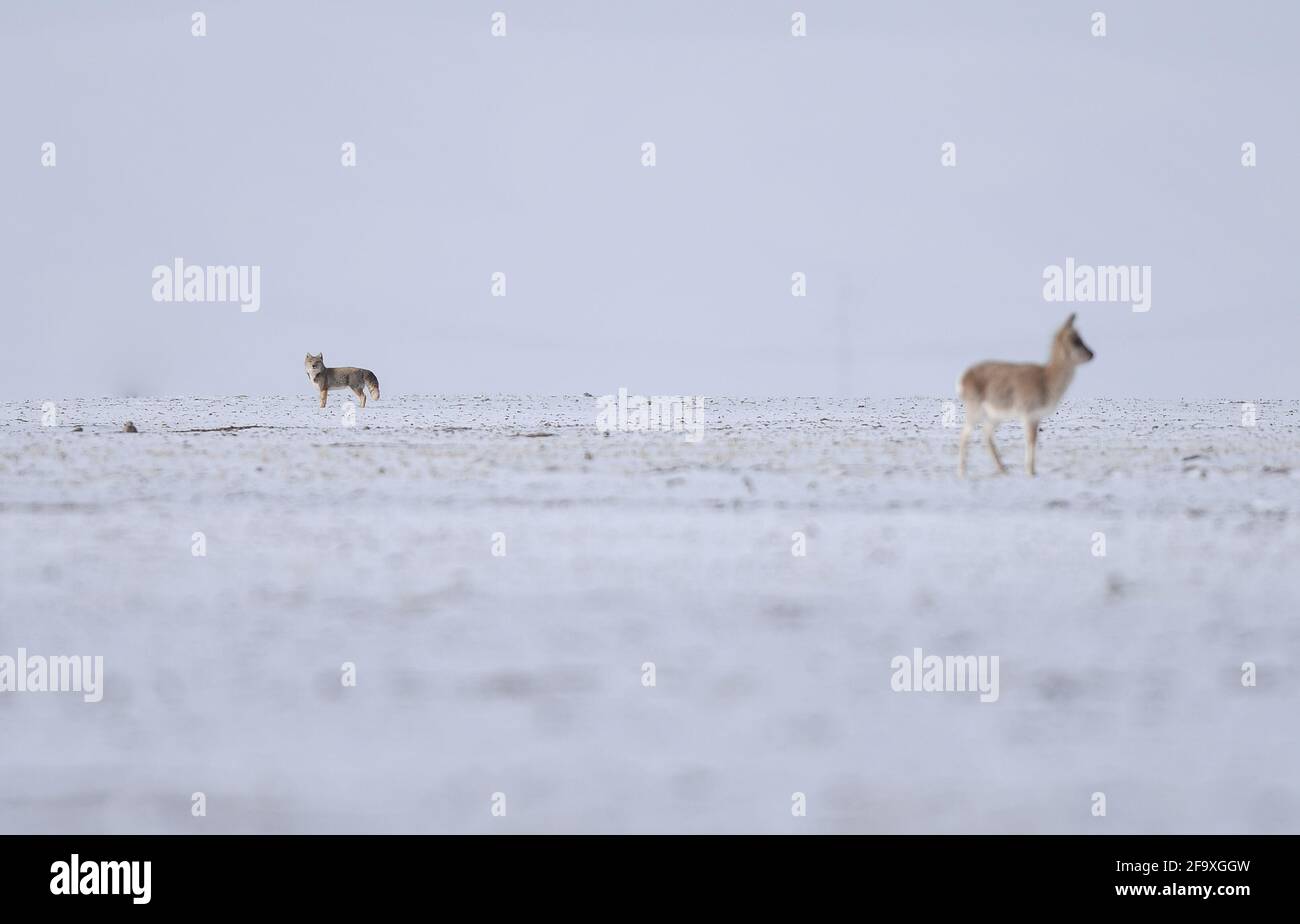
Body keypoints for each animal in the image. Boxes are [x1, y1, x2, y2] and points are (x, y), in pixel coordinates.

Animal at [956, 314, 1094, 477]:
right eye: (1075, 340)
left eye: (1080, 337)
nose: (1092, 354)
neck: (1046, 379)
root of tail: (964, 377)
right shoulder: (1028, 415)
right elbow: (1030, 441)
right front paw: (1030, 472)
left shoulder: (1036, 417)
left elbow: (1033, 440)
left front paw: (1032, 471)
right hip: (976, 411)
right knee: (964, 435)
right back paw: (962, 472)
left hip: (994, 416)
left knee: (986, 434)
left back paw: (1003, 469)